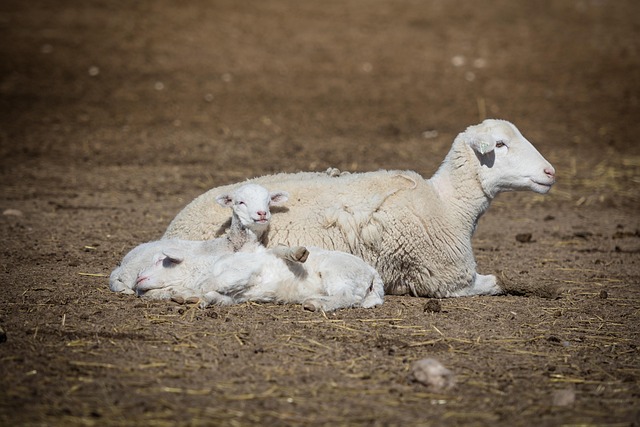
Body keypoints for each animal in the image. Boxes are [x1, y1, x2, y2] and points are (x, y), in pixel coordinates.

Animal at [108, 183, 289, 294]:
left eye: (268, 202)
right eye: (240, 202)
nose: (262, 214)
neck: (233, 244)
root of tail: (124, 261)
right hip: (132, 272)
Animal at [134, 244, 385, 311]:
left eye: (161, 260)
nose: (137, 280)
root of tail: (373, 273)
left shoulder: (241, 270)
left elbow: (210, 284)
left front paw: (191, 294)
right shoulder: (236, 295)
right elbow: (217, 295)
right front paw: (194, 298)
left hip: (338, 271)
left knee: (346, 296)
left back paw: (316, 304)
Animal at [163, 119, 556, 298]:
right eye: (500, 144)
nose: (550, 172)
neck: (447, 203)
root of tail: (176, 222)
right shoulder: (444, 281)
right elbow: (496, 283)